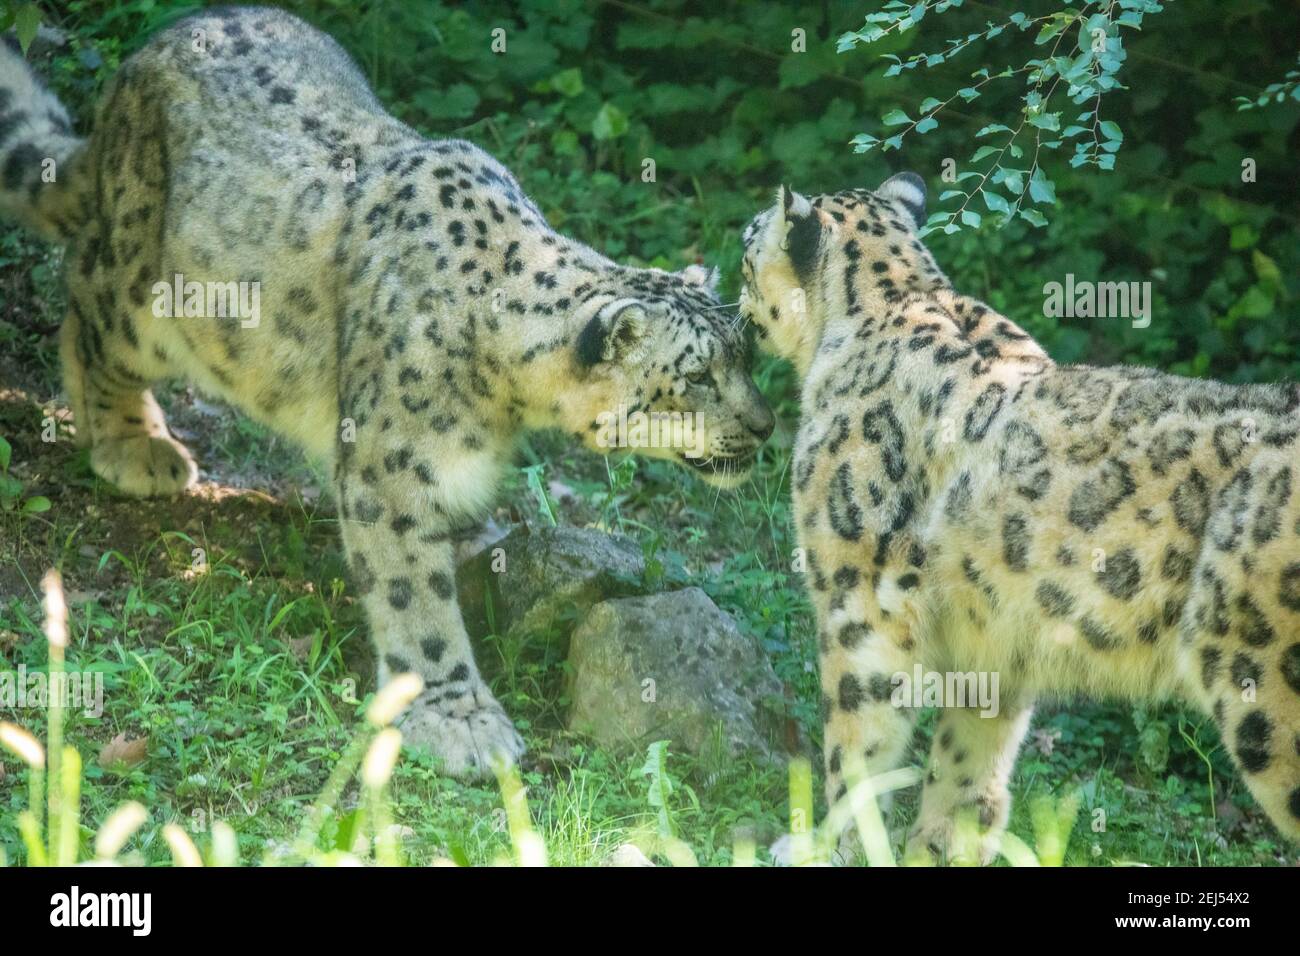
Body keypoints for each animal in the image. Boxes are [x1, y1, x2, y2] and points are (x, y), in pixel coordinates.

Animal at [0, 7, 773, 776]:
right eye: (696, 375)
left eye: (746, 353)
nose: (767, 427)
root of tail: (139, 63)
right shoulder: (391, 468)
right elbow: (415, 599)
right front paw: (459, 717)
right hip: (140, 294)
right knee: (86, 313)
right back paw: (134, 445)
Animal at [738, 172, 1300, 862]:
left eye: (747, 243)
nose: (731, 289)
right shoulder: (995, 644)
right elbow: (966, 763)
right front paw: (943, 847)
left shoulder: (859, 600)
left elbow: (857, 743)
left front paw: (826, 846)